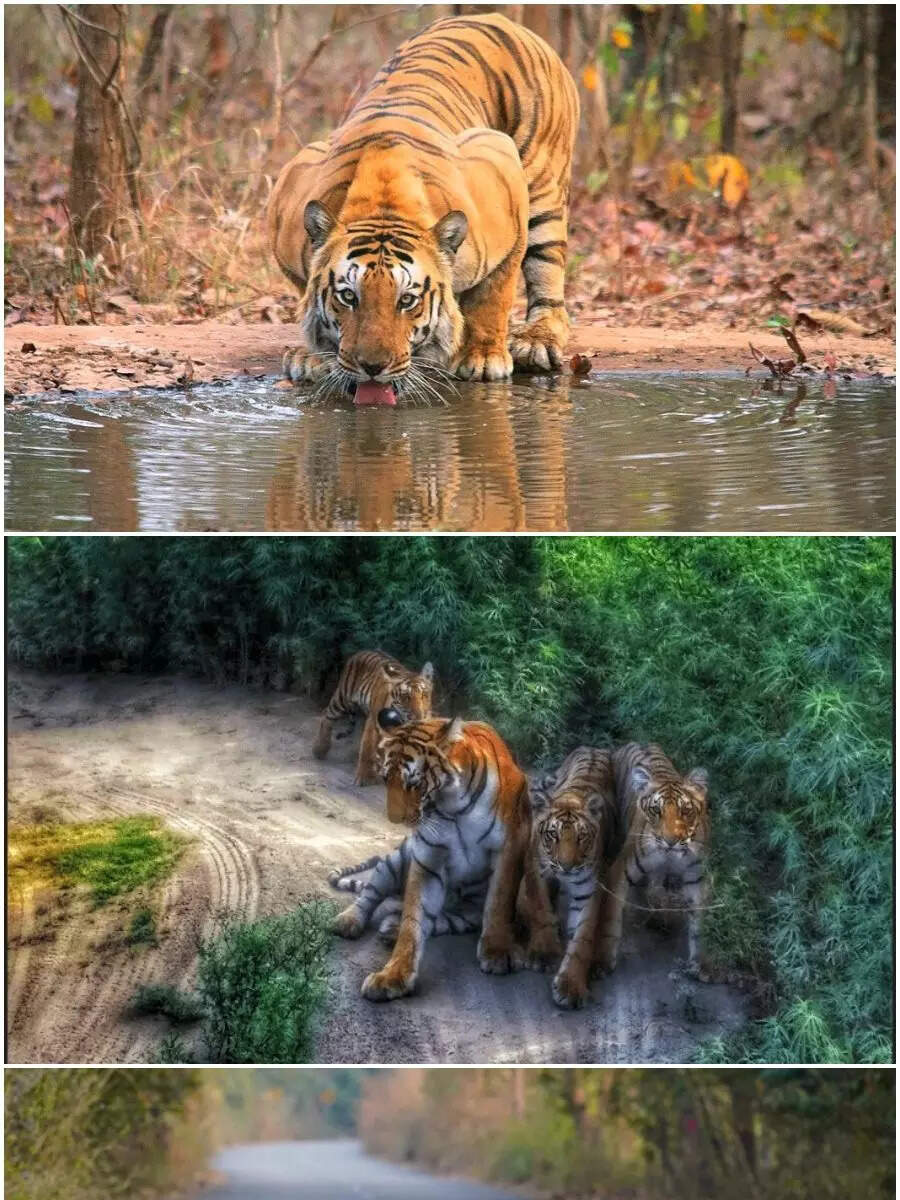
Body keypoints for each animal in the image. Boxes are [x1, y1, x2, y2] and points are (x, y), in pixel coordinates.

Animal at [267, 13, 579, 404]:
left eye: (407, 300)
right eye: (348, 296)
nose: (372, 367)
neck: (384, 205)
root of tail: (495, 17)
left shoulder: (501, 165)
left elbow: (495, 293)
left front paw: (483, 356)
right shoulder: (289, 193)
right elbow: (304, 290)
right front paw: (313, 356)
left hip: (542, 185)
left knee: (548, 273)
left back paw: (537, 340)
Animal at [313, 650, 434, 786]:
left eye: (424, 695)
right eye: (406, 696)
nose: (419, 716)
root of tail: (362, 651)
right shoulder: (373, 722)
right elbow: (368, 748)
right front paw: (366, 777)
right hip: (343, 698)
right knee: (327, 715)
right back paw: (319, 749)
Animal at [330, 706, 532, 1001]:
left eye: (414, 783)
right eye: (385, 779)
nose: (395, 820)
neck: (453, 804)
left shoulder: (511, 844)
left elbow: (499, 902)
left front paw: (497, 953)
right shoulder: (428, 858)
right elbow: (414, 920)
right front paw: (392, 977)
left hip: (466, 912)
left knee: (444, 920)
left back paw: (390, 929)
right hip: (396, 860)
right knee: (372, 894)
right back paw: (350, 921)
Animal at [521, 746, 620, 1009]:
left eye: (581, 837)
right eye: (552, 835)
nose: (566, 866)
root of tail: (594, 748)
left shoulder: (590, 888)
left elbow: (582, 939)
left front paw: (571, 985)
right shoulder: (535, 867)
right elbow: (540, 909)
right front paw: (544, 952)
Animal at [597, 742, 711, 982]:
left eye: (685, 810)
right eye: (656, 810)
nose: (670, 841)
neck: (670, 856)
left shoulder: (696, 880)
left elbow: (700, 925)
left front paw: (701, 963)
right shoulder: (620, 872)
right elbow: (611, 917)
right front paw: (602, 961)